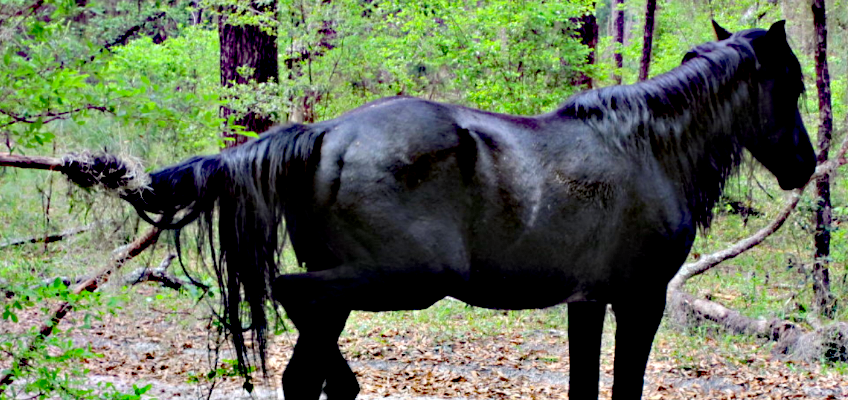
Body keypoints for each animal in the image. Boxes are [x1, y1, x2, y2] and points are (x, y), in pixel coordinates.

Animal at [93, 20, 814, 399]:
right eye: (794, 83)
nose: (805, 166)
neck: (645, 148)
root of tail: (323, 133)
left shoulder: (587, 302)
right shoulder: (642, 300)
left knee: (309, 361)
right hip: (407, 279)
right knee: (293, 301)